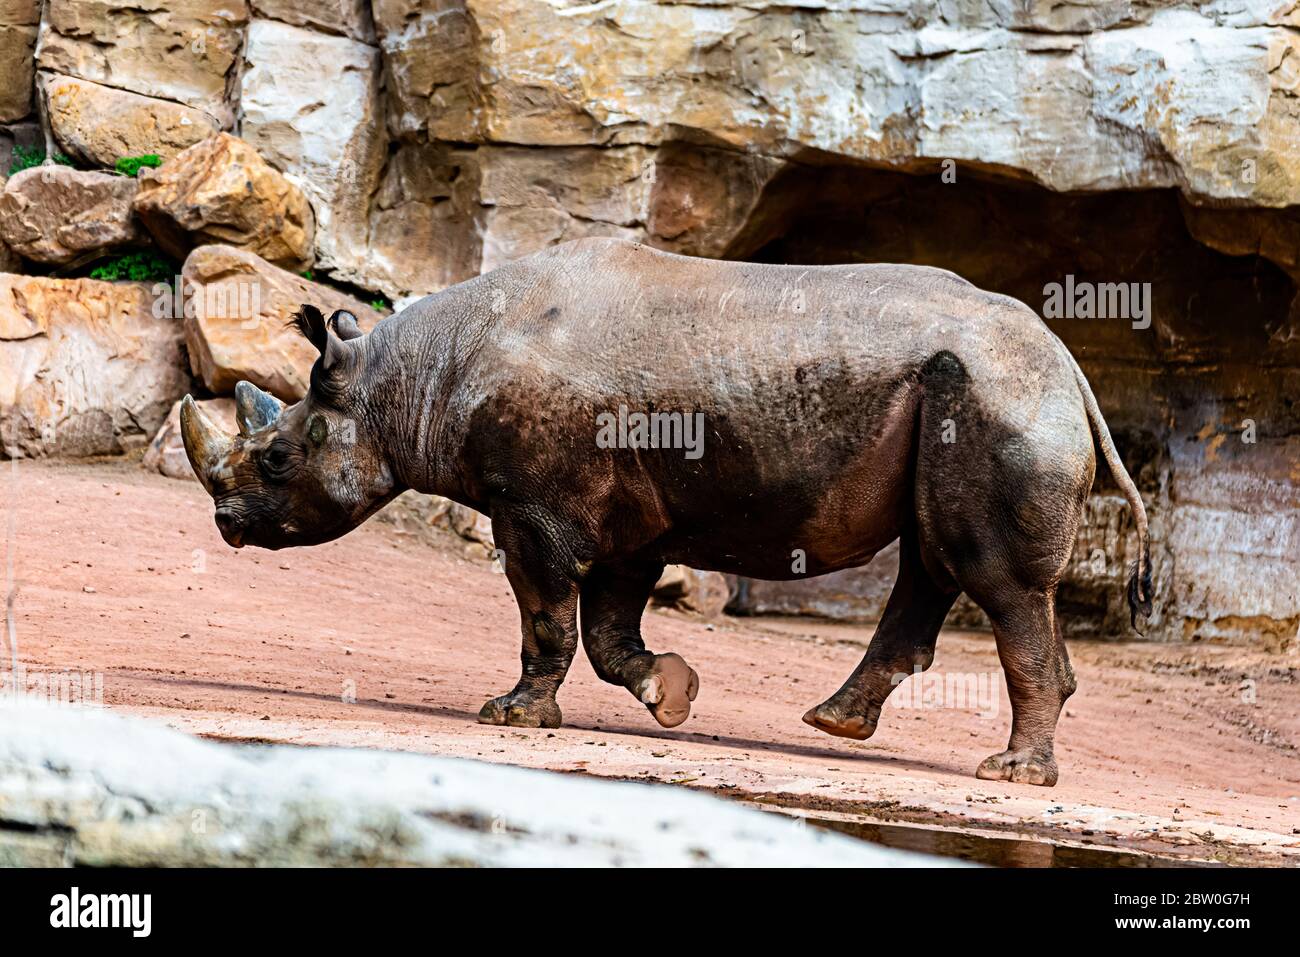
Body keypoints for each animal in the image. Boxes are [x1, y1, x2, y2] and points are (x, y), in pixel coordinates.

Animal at [181, 238, 1152, 787]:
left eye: (276, 458)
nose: (227, 524)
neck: (406, 381)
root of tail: (1068, 365)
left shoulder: (533, 506)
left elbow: (546, 615)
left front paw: (512, 716)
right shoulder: (627, 517)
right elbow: (609, 632)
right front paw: (672, 693)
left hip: (998, 399)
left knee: (993, 579)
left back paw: (1011, 776)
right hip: (988, 394)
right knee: (935, 560)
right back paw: (836, 724)